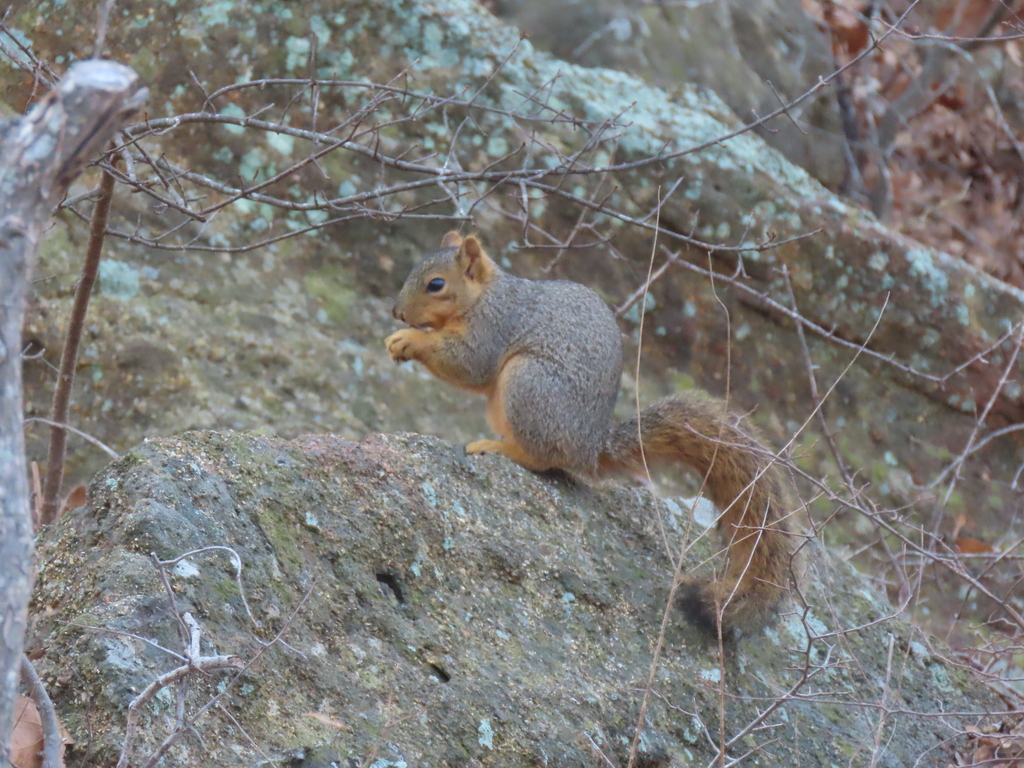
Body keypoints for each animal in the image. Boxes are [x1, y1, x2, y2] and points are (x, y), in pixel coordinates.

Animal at [385, 232, 794, 635]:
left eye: (436, 284)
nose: (397, 313)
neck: (484, 295)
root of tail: (591, 446)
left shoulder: (493, 328)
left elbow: (469, 365)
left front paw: (409, 340)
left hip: (528, 383)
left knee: (544, 458)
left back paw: (500, 449)